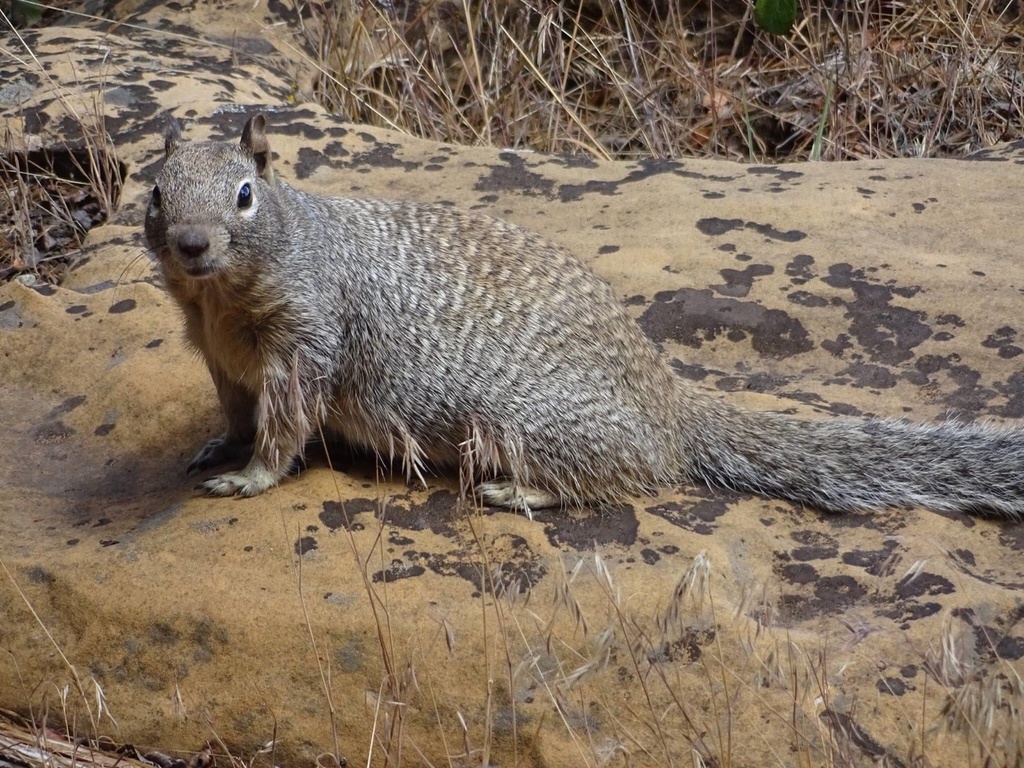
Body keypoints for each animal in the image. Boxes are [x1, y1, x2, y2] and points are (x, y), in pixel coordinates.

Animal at [144, 114, 1024, 517]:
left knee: (621, 477)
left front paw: (250, 477)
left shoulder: (305, 343)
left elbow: (287, 428)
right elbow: (237, 414)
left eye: (245, 196)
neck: (219, 304)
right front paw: (217, 447)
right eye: (154, 192)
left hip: (523, 422)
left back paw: (518, 494)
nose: (190, 243)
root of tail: (667, 401)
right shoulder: (223, 362)